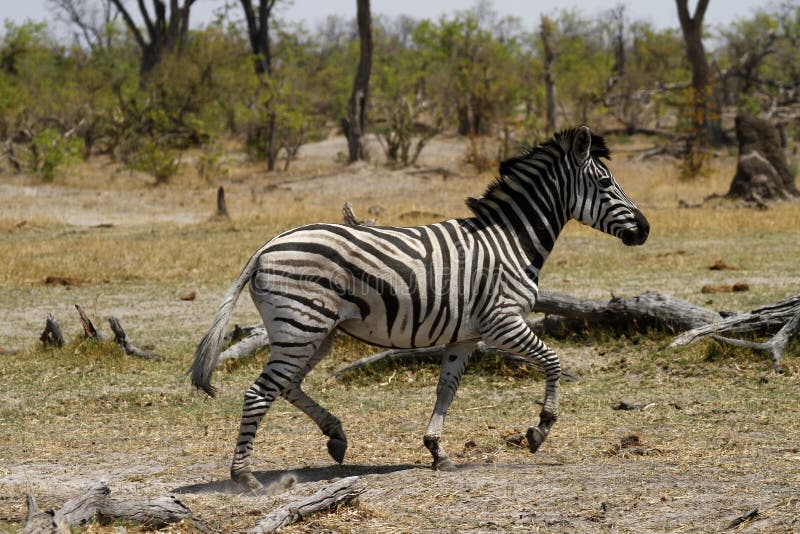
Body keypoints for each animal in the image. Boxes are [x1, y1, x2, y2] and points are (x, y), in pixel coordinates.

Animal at [190, 126, 649, 491]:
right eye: (605, 182)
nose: (644, 230)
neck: (510, 241)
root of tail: (265, 248)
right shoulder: (503, 322)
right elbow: (553, 361)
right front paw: (540, 428)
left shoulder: (466, 335)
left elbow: (446, 388)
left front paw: (437, 450)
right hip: (302, 326)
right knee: (259, 393)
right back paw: (245, 477)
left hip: (315, 332)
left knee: (287, 386)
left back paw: (335, 436)